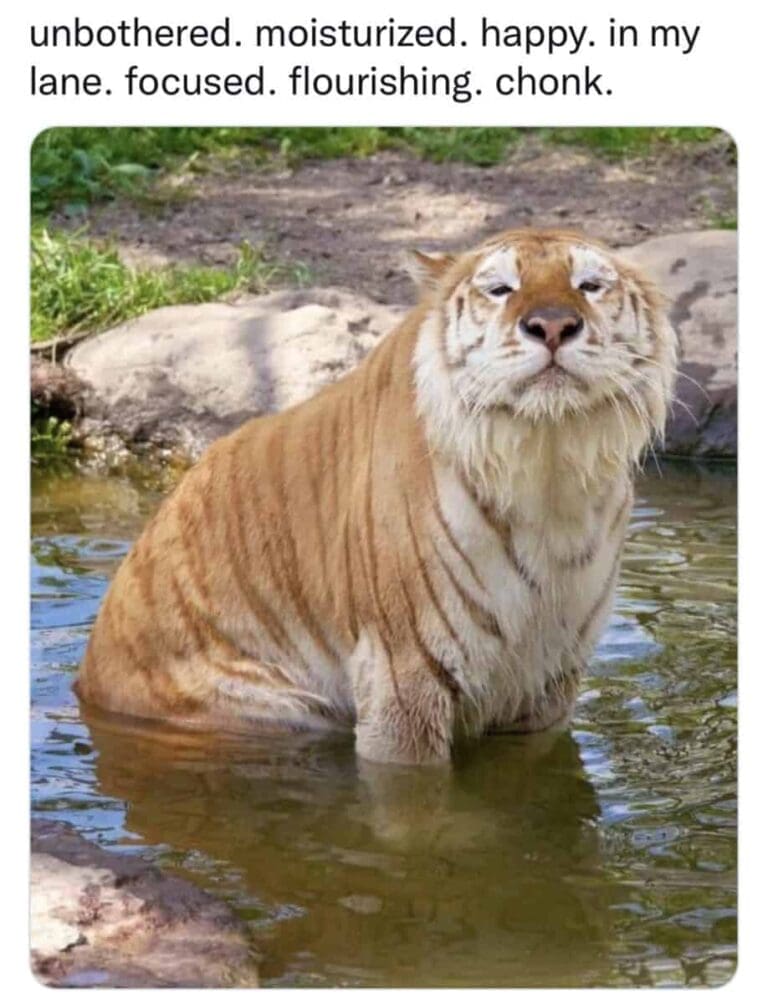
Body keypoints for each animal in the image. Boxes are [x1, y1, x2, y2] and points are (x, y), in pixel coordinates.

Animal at [75, 227, 677, 765]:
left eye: (590, 286)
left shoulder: (546, 682)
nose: (552, 325)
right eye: (501, 288)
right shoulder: (406, 670)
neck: (547, 464)